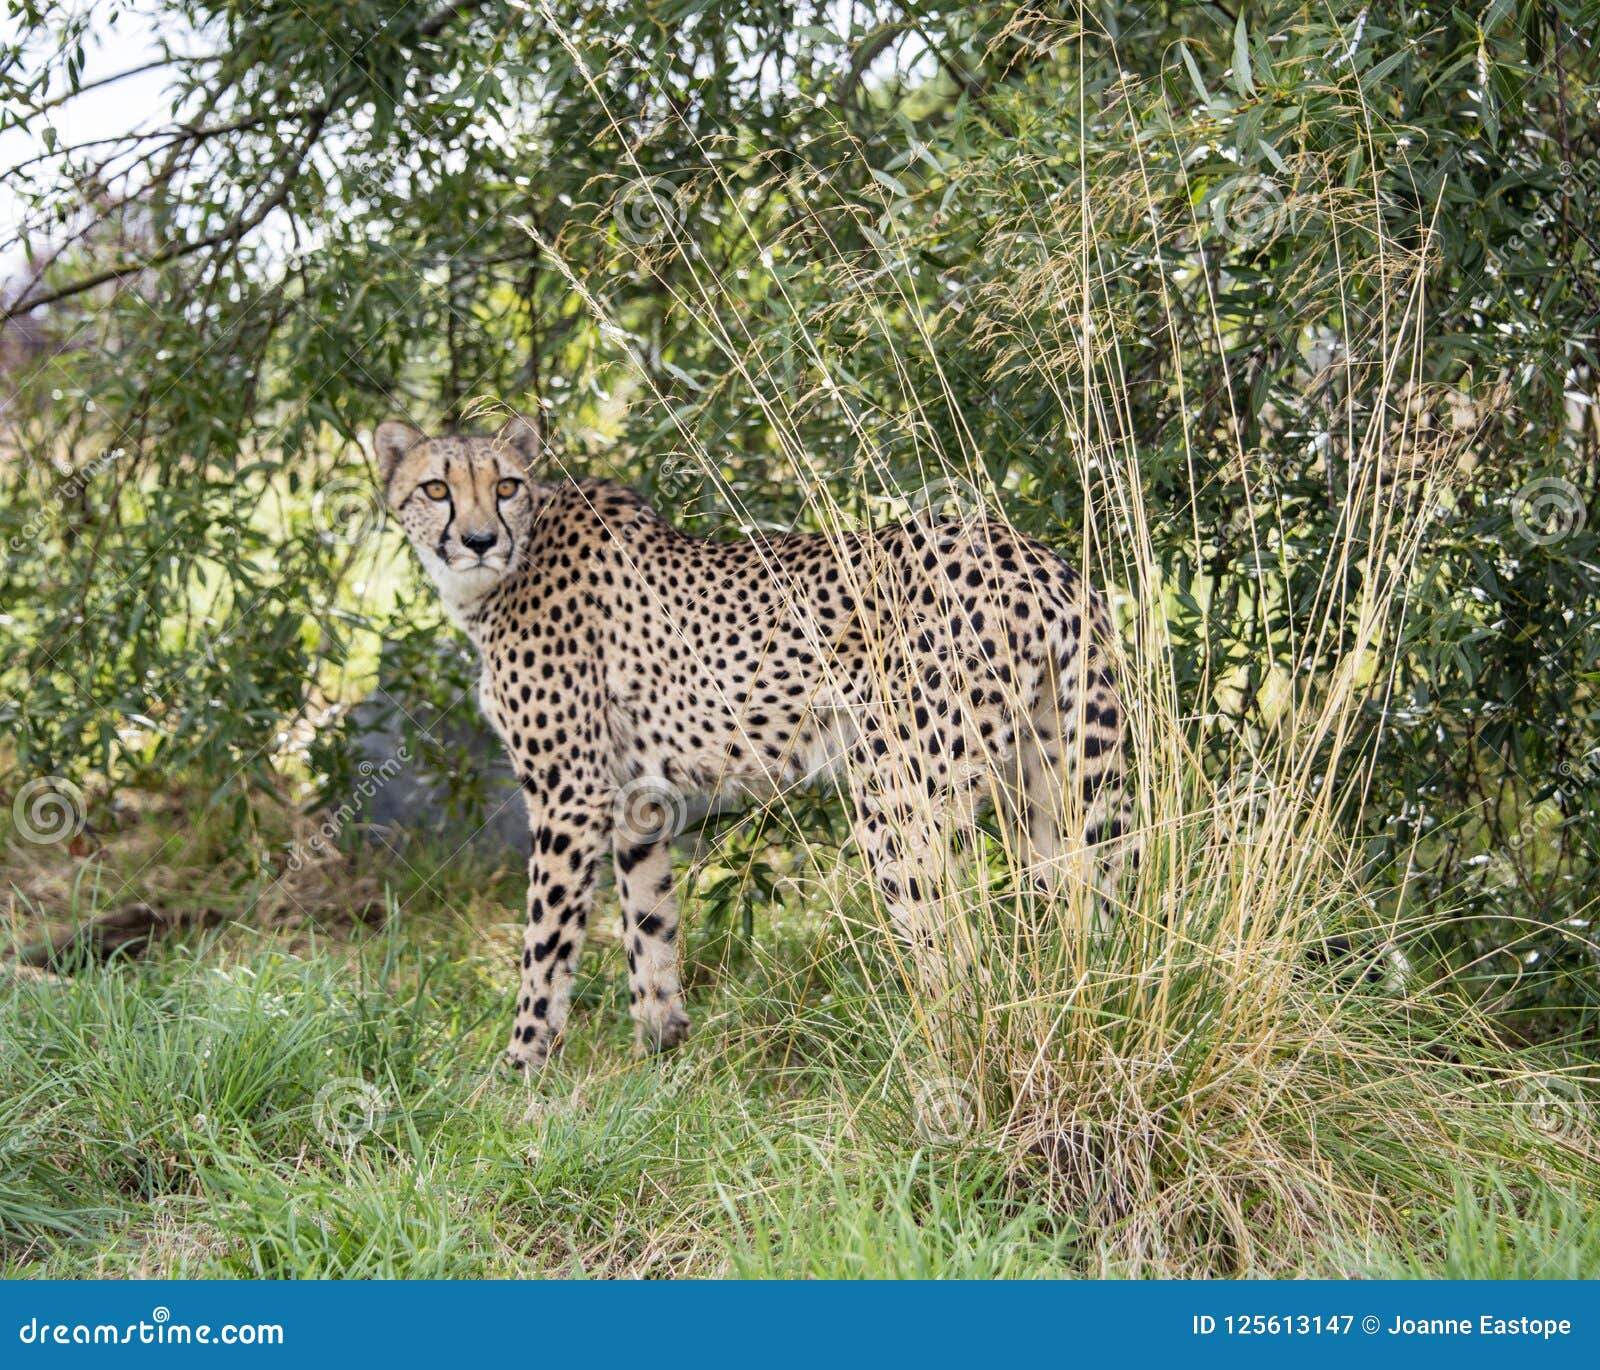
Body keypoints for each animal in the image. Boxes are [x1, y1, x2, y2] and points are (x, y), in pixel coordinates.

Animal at [374, 416, 1132, 1069]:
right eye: (436, 488)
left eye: (505, 485)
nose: (477, 540)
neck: (508, 566)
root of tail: (1038, 556)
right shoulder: (634, 801)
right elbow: (649, 924)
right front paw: (659, 1057)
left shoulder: (571, 795)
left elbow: (546, 942)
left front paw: (519, 1066)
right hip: (1043, 795)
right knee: (1083, 917)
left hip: (898, 793)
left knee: (956, 950)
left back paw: (942, 1071)